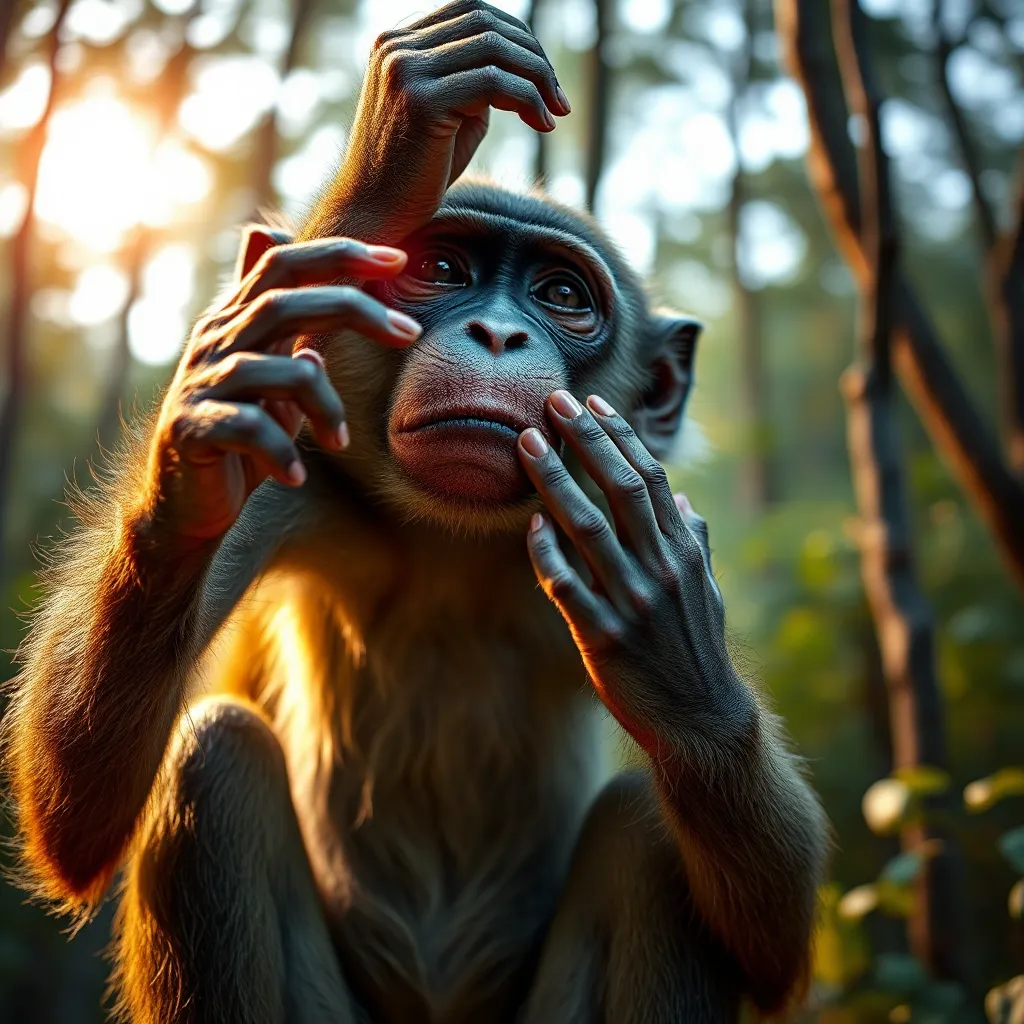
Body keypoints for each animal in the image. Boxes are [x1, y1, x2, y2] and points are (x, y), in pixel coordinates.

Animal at [2, 3, 828, 1022]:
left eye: (561, 294)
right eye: (440, 267)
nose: (498, 332)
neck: (448, 545)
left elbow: (774, 940)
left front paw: (670, 640)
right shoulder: (299, 484)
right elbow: (75, 806)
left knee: (650, 825)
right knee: (213, 758)